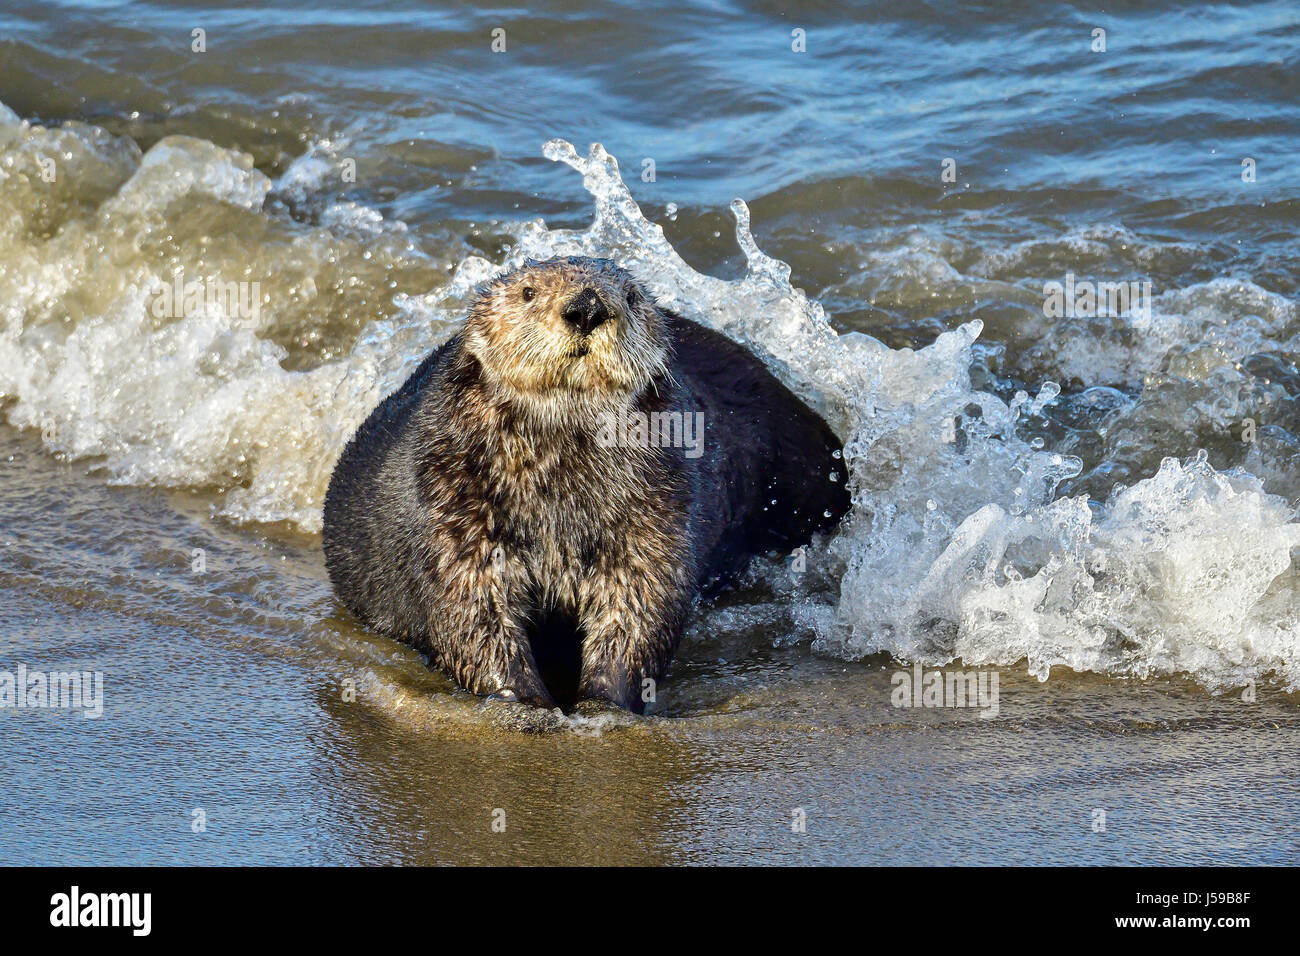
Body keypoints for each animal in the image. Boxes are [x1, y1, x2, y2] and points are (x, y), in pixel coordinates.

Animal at [323, 256, 849, 713]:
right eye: (528, 292)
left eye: (632, 296)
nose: (587, 308)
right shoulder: (452, 507)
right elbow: (471, 609)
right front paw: (524, 701)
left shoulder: (655, 512)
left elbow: (642, 601)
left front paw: (604, 700)